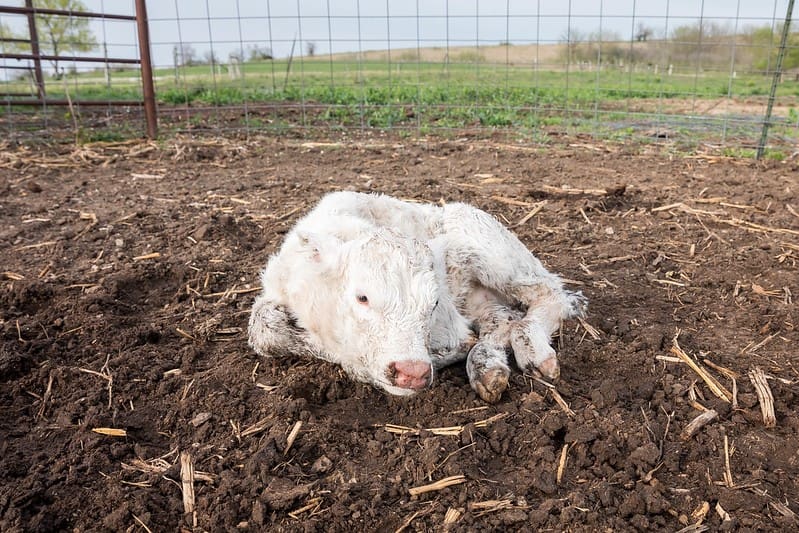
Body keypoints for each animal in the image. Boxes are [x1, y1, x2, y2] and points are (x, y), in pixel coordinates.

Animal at [248, 191, 586, 403]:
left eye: (433, 304)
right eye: (362, 297)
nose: (412, 373)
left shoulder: (450, 326)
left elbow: (460, 341)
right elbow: (264, 330)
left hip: (495, 253)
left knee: (549, 293)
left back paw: (534, 351)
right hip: (480, 294)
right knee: (503, 318)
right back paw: (488, 367)